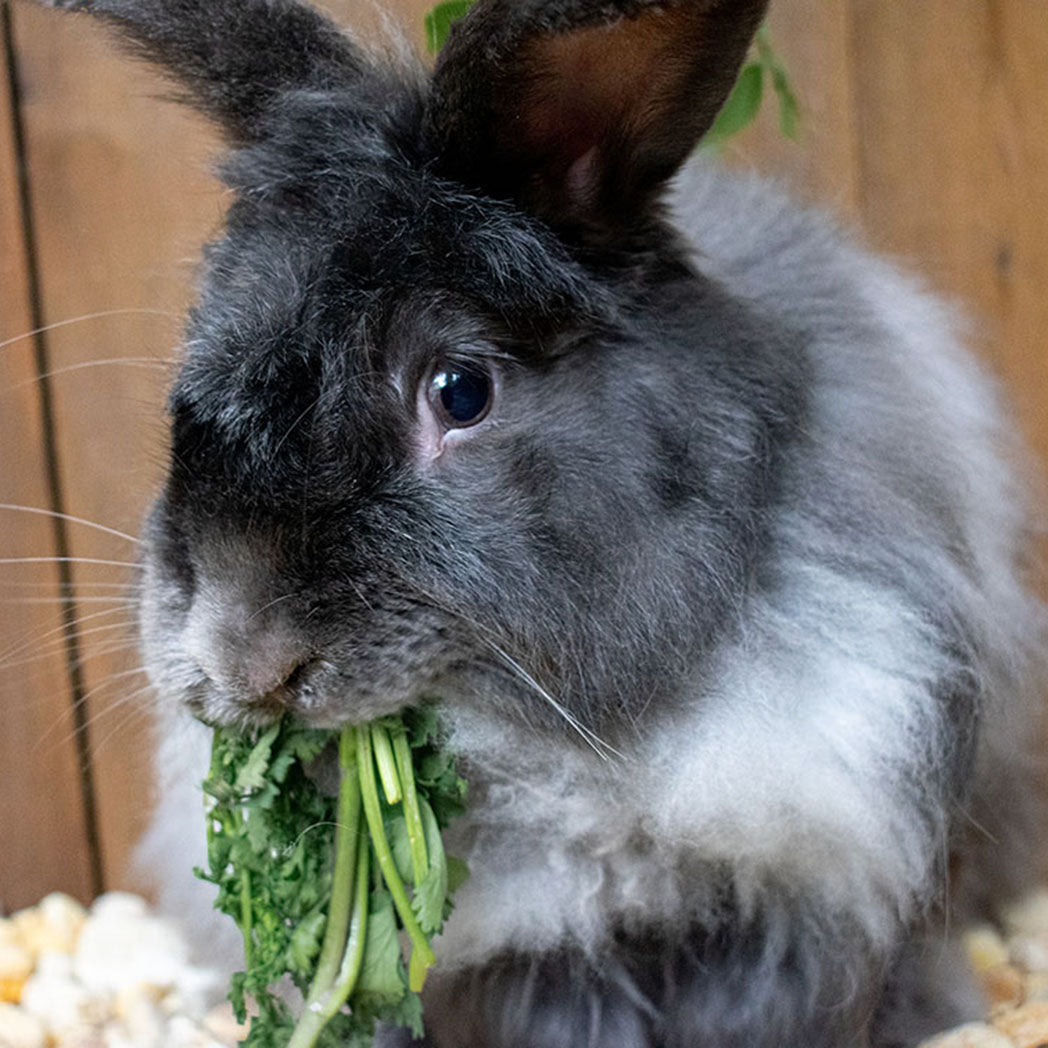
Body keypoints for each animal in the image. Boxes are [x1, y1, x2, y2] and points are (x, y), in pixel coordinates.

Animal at [32, 0, 1048, 1044]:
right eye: (191, 375)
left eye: (460, 390)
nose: (240, 662)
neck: (571, 766)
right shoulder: (525, 964)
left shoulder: (798, 891)